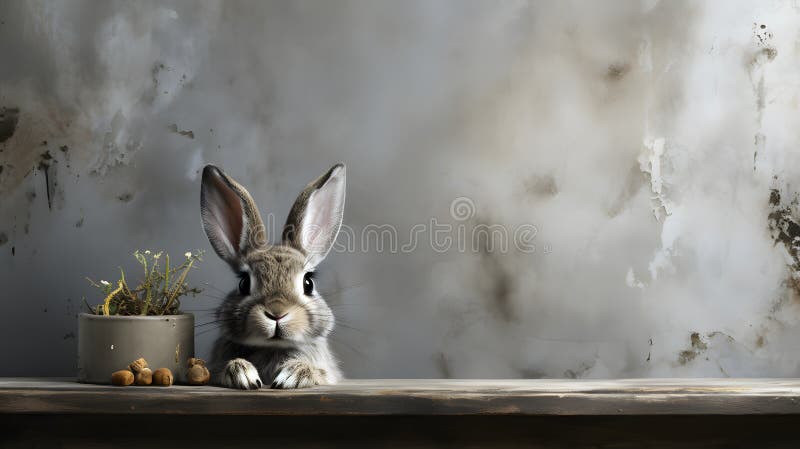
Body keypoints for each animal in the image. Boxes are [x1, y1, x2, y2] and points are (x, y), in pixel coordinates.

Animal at [200, 163, 346, 389]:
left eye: (308, 283)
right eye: (243, 283)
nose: (277, 313)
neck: (273, 347)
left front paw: (293, 375)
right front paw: (242, 373)